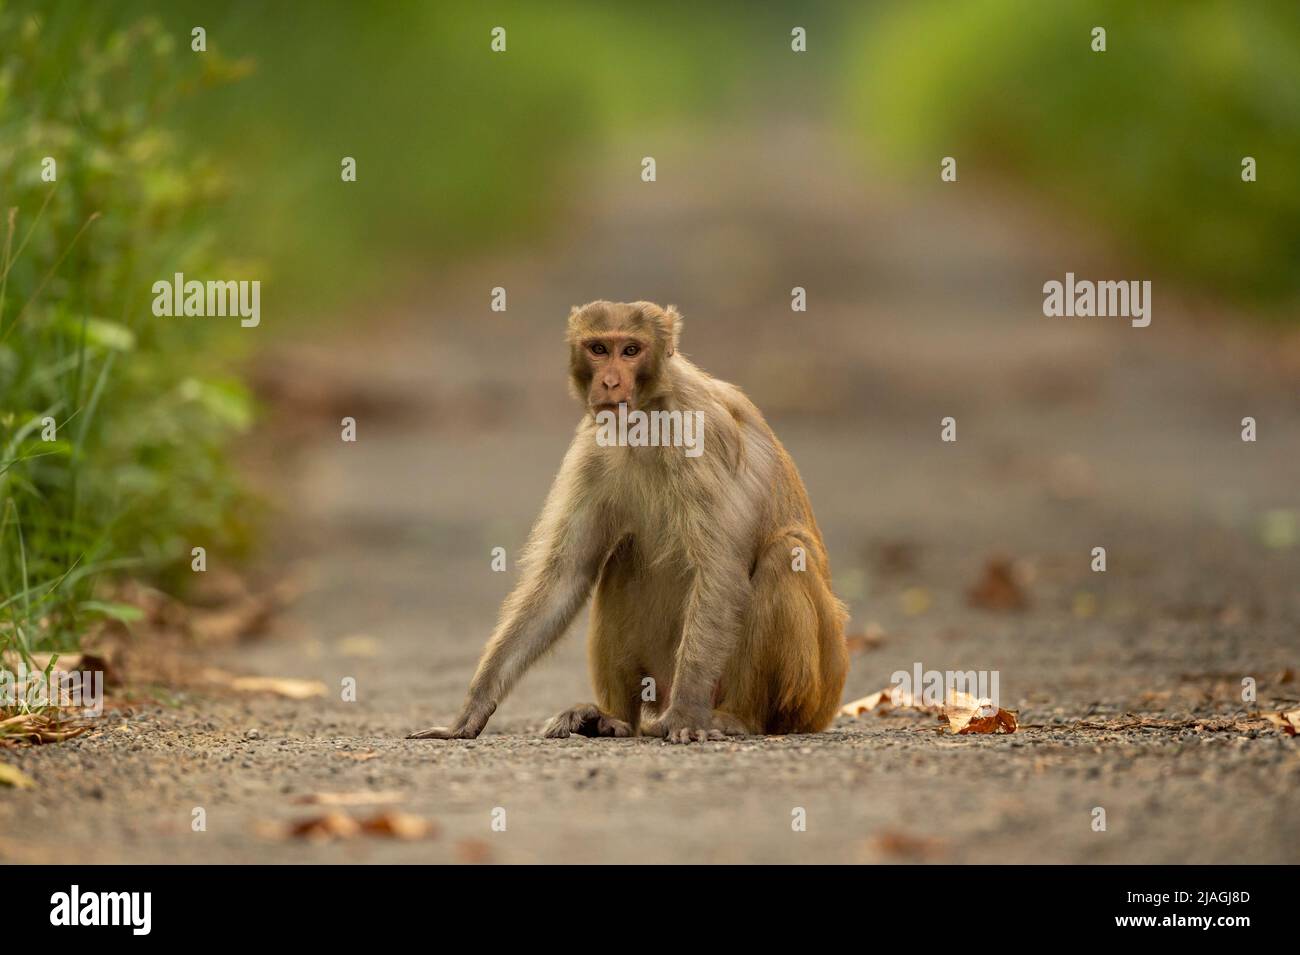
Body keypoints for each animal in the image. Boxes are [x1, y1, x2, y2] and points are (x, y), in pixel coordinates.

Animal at [409, 301, 848, 744]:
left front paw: (688, 714)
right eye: (599, 349)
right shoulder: (592, 448)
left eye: (631, 350)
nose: (609, 381)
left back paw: (739, 718)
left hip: (810, 695)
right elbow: (565, 574)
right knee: (621, 559)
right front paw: (472, 709)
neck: (646, 418)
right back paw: (612, 719)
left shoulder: (698, 434)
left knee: (787, 554)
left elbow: (720, 571)